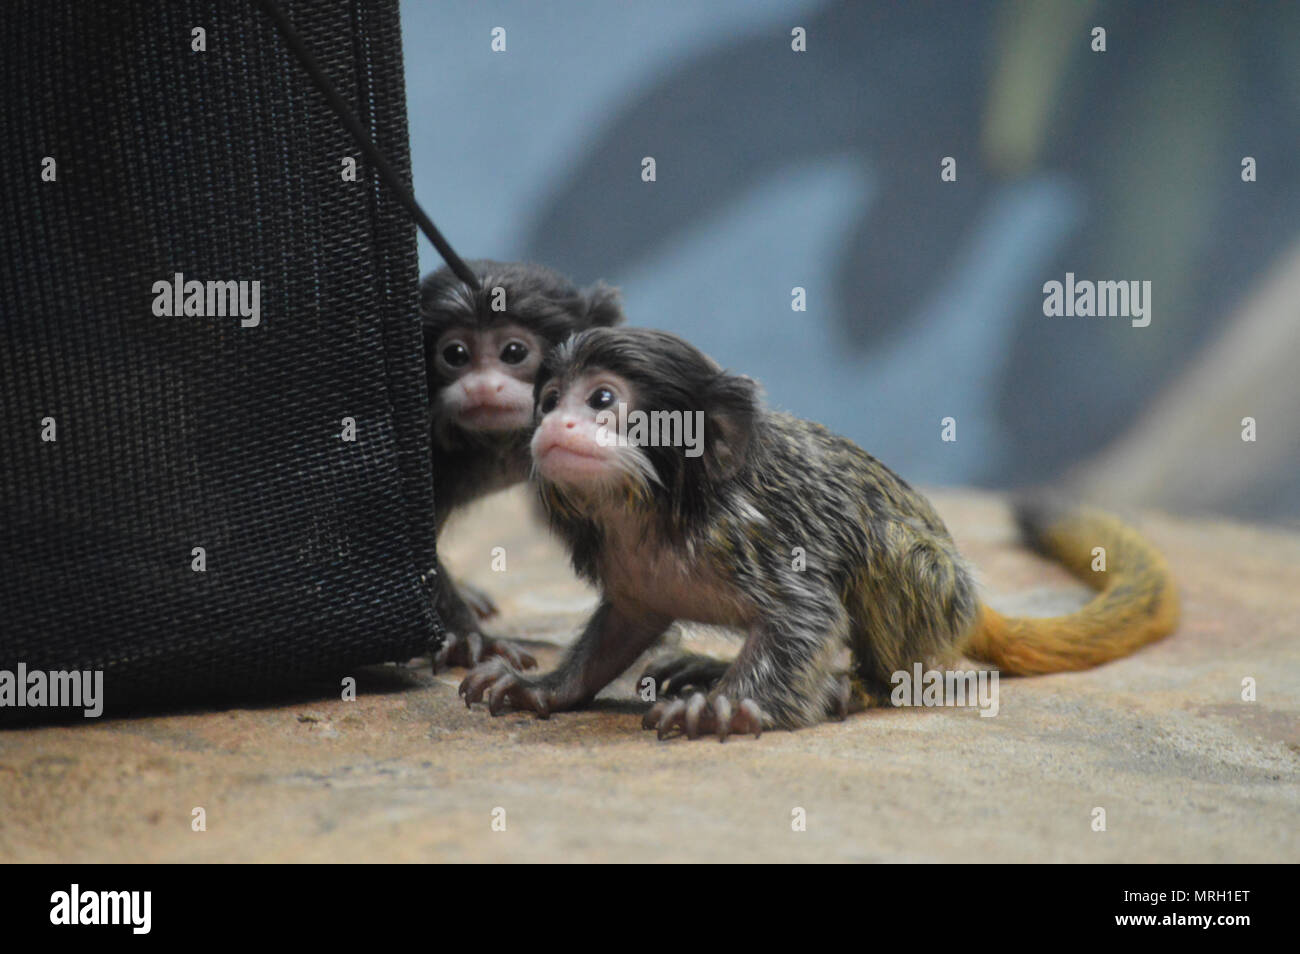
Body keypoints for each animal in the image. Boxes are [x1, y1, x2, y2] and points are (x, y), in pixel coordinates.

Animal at [458, 327, 1180, 740]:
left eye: (603, 401)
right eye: (550, 400)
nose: (557, 426)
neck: (654, 513)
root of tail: (971, 605)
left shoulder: (744, 537)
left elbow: (806, 615)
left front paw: (722, 710)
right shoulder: (628, 570)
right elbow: (624, 625)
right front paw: (547, 689)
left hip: (937, 593)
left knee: (892, 559)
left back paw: (857, 688)